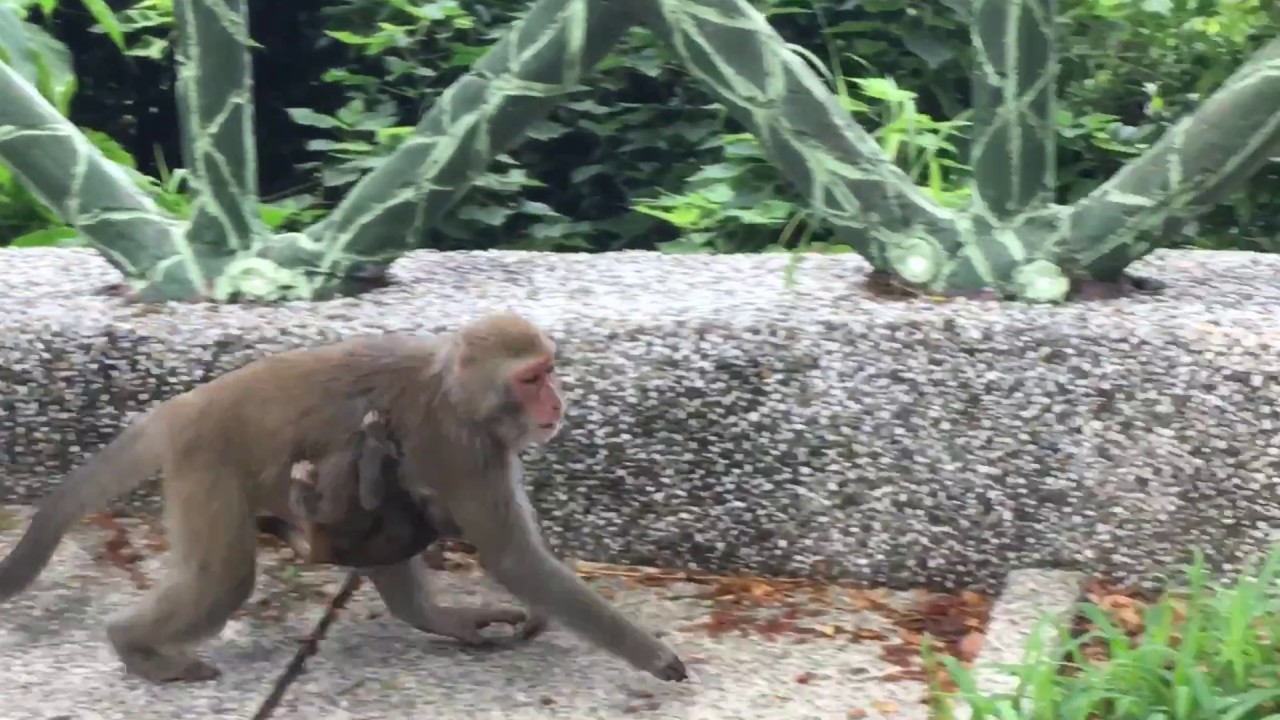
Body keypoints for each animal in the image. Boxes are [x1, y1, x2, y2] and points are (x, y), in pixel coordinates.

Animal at [0, 312, 685, 684]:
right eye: (532, 378)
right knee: (225, 577)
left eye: (551, 369)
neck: (459, 394)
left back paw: (430, 614)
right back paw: (132, 645)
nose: (557, 402)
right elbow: (515, 559)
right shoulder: (463, 448)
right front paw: (651, 654)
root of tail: (182, 407)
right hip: (208, 468)